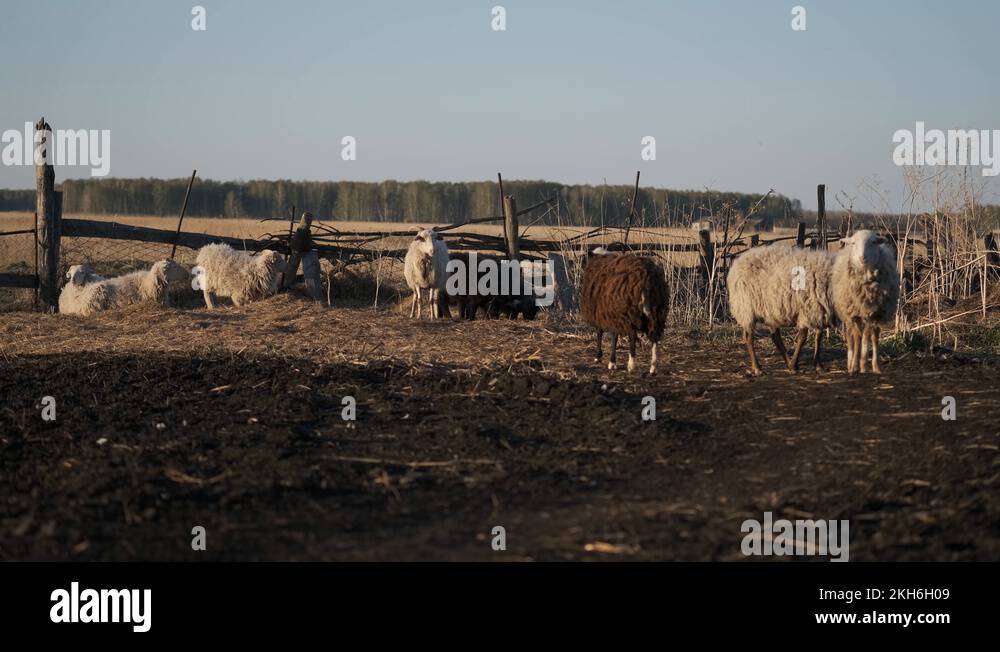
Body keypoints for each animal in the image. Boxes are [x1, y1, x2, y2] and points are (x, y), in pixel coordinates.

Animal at [726, 245, 837, 376]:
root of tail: (737, 262)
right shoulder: (808, 309)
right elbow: (803, 338)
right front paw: (794, 366)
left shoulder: (818, 310)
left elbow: (818, 337)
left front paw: (818, 366)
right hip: (746, 307)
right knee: (749, 337)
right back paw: (758, 368)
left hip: (770, 310)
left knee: (775, 336)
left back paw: (786, 361)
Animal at [831, 230, 900, 374]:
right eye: (853, 243)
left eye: (873, 242)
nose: (862, 257)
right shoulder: (855, 314)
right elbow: (858, 338)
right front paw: (856, 366)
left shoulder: (874, 314)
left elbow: (870, 337)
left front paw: (871, 366)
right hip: (849, 313)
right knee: (851, 337)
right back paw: (850, 363)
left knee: (868, 335)